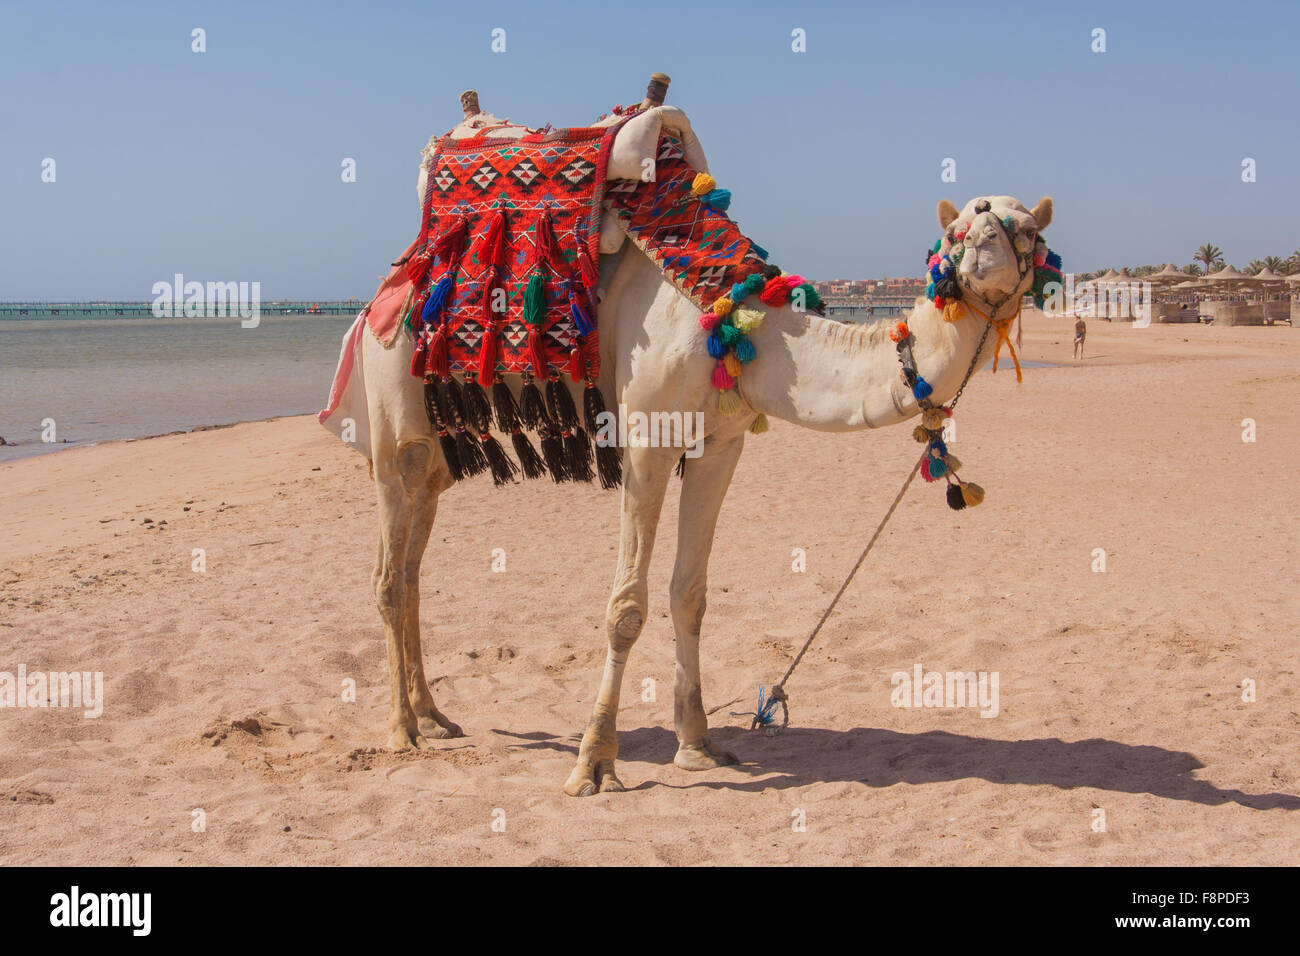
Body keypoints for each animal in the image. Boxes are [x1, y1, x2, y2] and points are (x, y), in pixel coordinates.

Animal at [327, 86, 1054, 796]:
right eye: (954, 232)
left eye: (1025, 231)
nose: (976, 253)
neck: (738, 328)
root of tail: (381, 295)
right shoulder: (647, 437)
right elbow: (626, 605)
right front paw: (594, 762)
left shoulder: (720, 444)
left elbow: (690, 595)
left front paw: (698, 744)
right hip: (393, 424)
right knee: (389, 573)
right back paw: (402, 730)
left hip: (437, 453)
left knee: (412, 568)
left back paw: (433, 714)